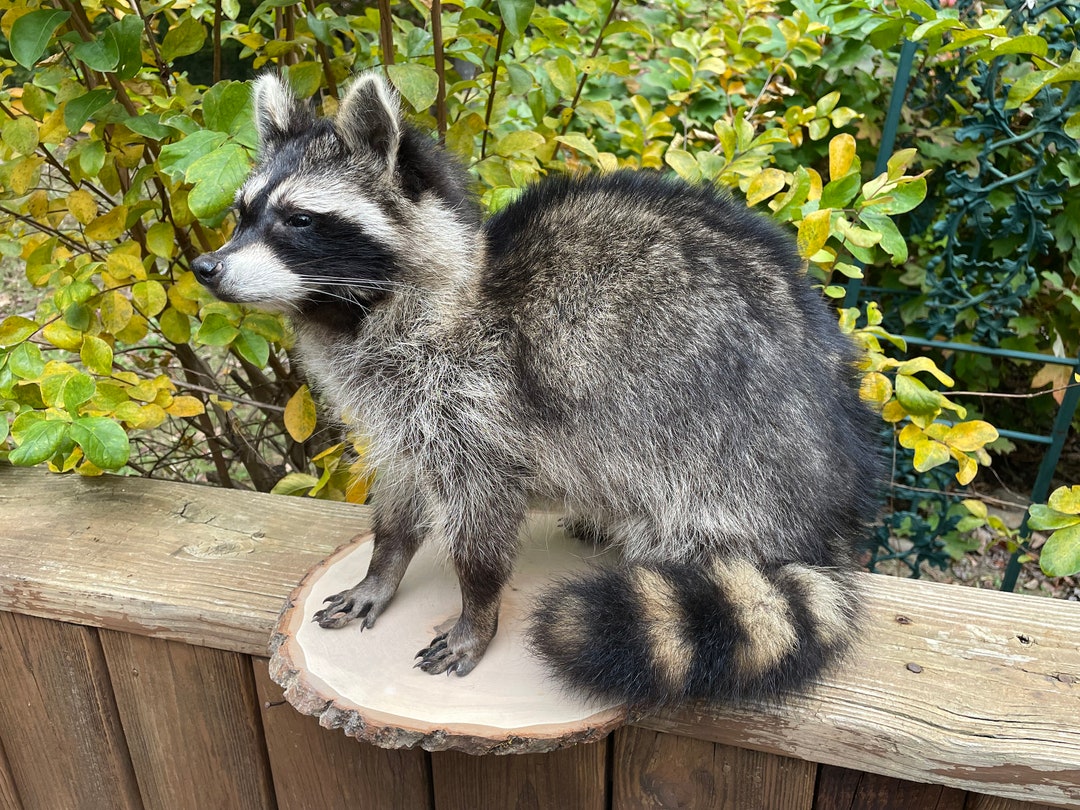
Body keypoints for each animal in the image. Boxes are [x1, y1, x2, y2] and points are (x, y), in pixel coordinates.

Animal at [192, 72, 882, 709]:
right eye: (242, 213)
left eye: (299, 220)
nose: (204, 267)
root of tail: (829, 512)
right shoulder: (404, 410)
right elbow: (403, 486)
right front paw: (384, 565)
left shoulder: (478, 399)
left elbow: (483, 520)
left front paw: (477, 610)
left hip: (725, 449)